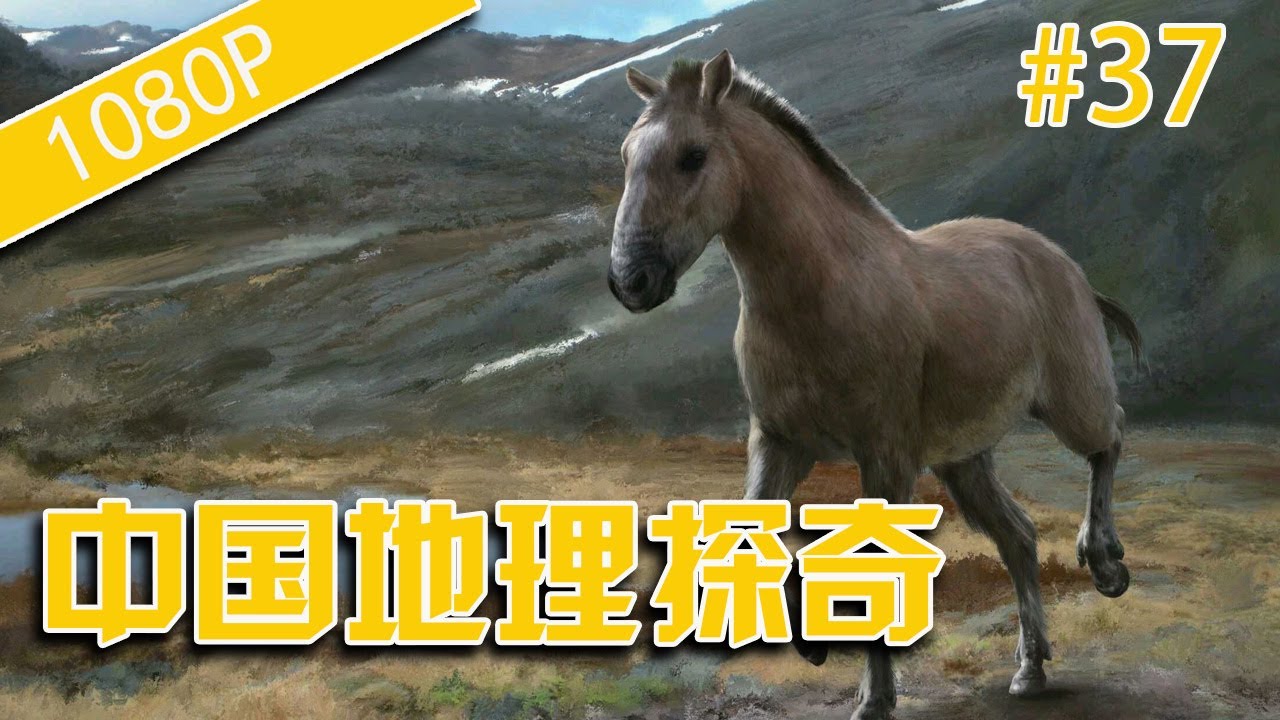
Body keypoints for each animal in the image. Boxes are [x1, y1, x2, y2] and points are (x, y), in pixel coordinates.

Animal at [606, 51, 1144, 719]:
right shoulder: (779, 443)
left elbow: (871, 563)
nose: (630, 281)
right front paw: (809, 640)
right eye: (627, 155)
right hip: (963, 459)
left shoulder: (885, 456)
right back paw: (1030, 668)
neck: (823, 293)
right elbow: (751, 531)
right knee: (1018, 538)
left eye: (692, 156)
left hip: (1069, 402)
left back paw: (1105, 563)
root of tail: (1065, 266)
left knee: (1110, 438)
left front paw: (874, 698)